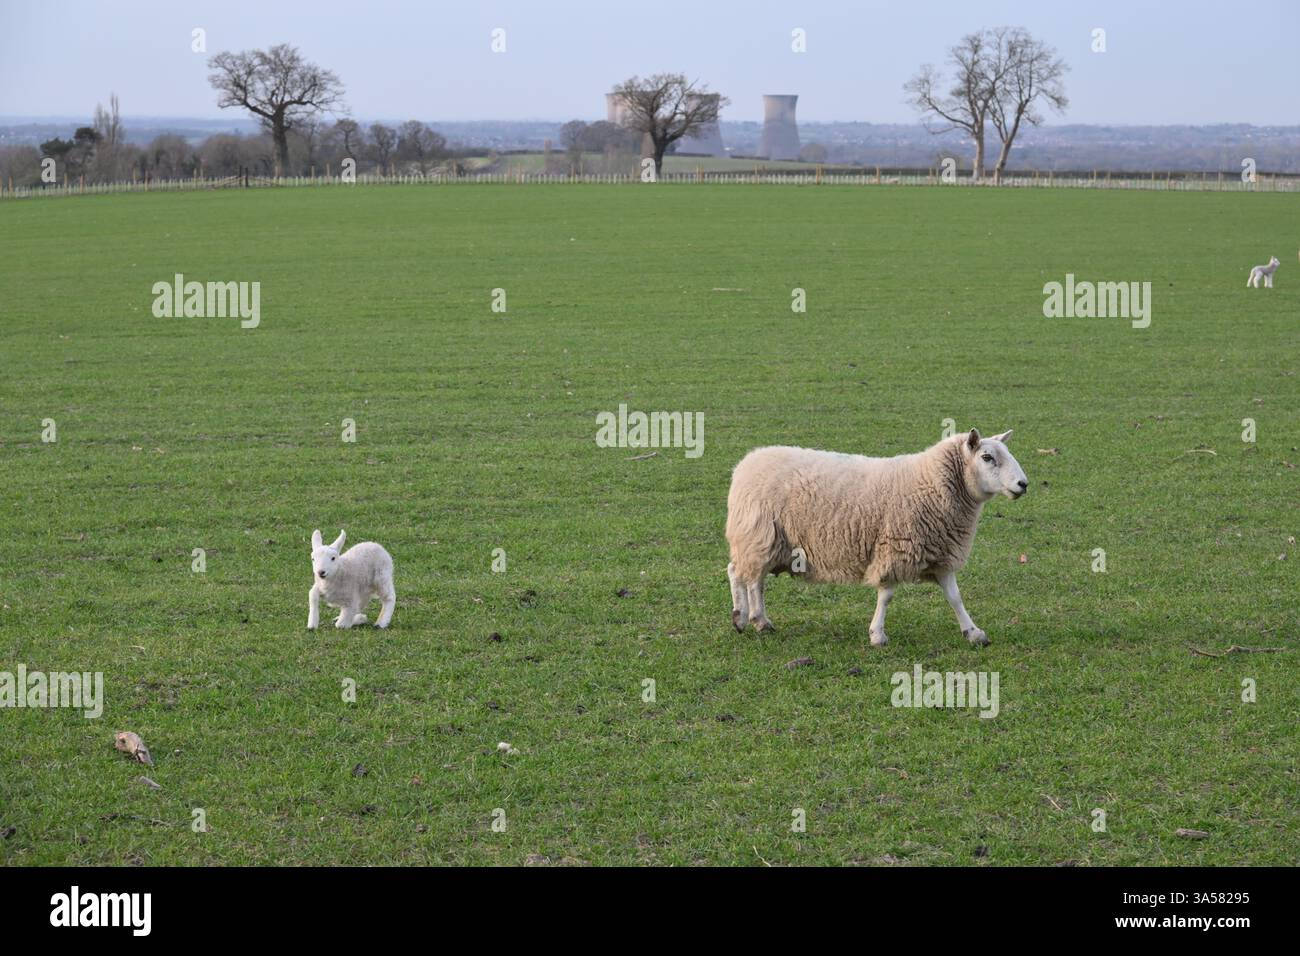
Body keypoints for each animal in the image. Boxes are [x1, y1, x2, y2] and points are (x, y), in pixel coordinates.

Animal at [725, 429, 1027, 648]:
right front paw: (877, 635)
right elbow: (887, 596)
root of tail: (746, 462)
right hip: (757, 534)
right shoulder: (895, 547)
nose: (1023, 484)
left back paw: (760, 620)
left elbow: (955, 597)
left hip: (765, 541)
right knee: (738, 573)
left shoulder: (939, 553)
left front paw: (973, 632)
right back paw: (741, 618)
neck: (929, 484)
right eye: (987, 457)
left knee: (755, 580)